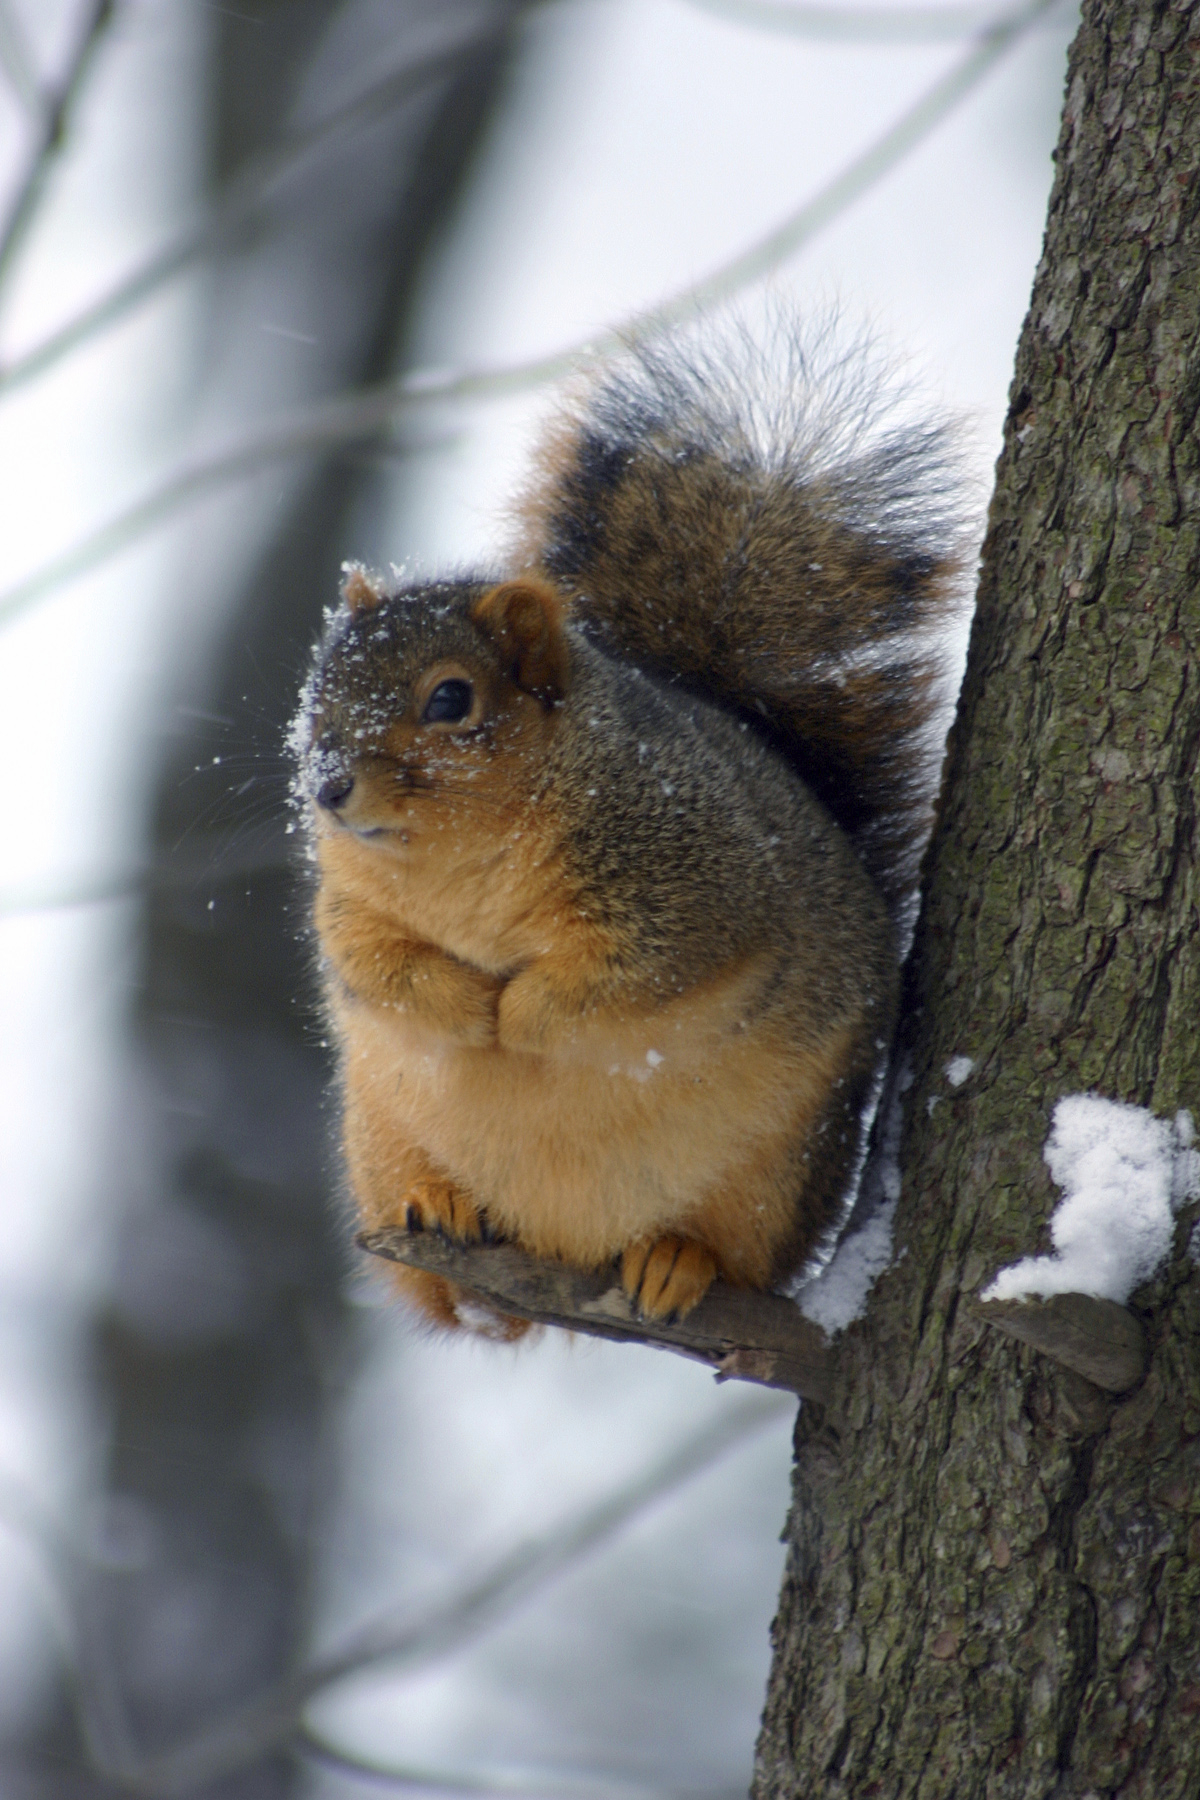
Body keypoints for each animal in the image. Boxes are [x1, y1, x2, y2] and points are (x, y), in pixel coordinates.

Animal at [291, 317, 965, 1338]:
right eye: (322, 683)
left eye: (451, 699)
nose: (327, 785)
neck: (461, 860)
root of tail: (563, 1248)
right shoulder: (355, 907)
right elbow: (377, 968)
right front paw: (466, 1006)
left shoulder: (690, 879)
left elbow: (626, 976)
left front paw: (513, 1015)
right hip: (379, 1143)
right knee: (457, 1297)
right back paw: (446, 1222)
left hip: (776, 1181)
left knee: (734, 1253)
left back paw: (676, 1260)